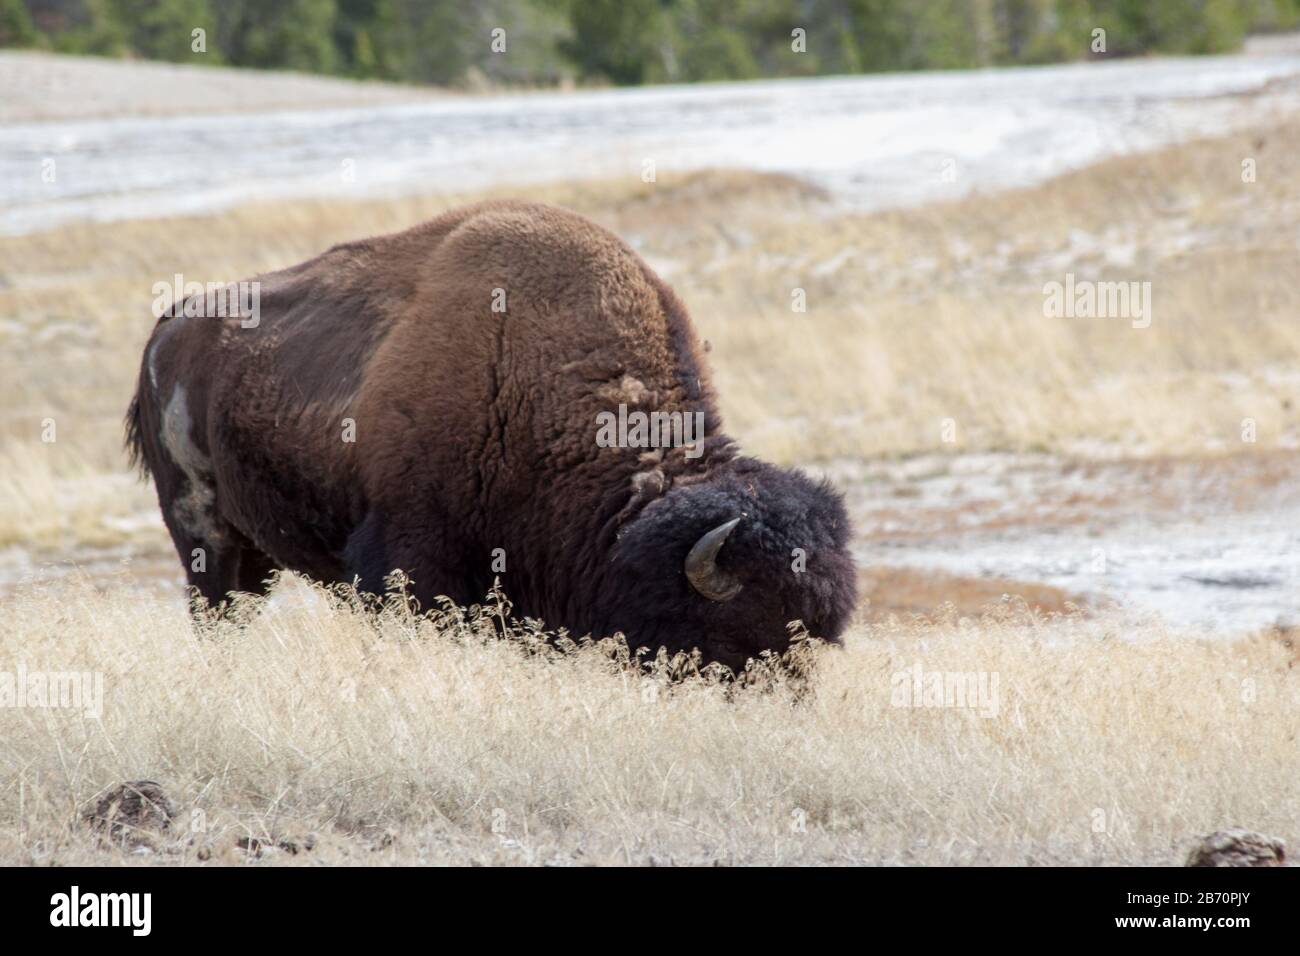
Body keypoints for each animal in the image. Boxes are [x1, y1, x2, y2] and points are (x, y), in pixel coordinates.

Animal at [126, 200, 856, 672]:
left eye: (820, 639)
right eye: (747, 636)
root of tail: (168, 327)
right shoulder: (406, 559)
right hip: (201, 527)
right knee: (216, 606)